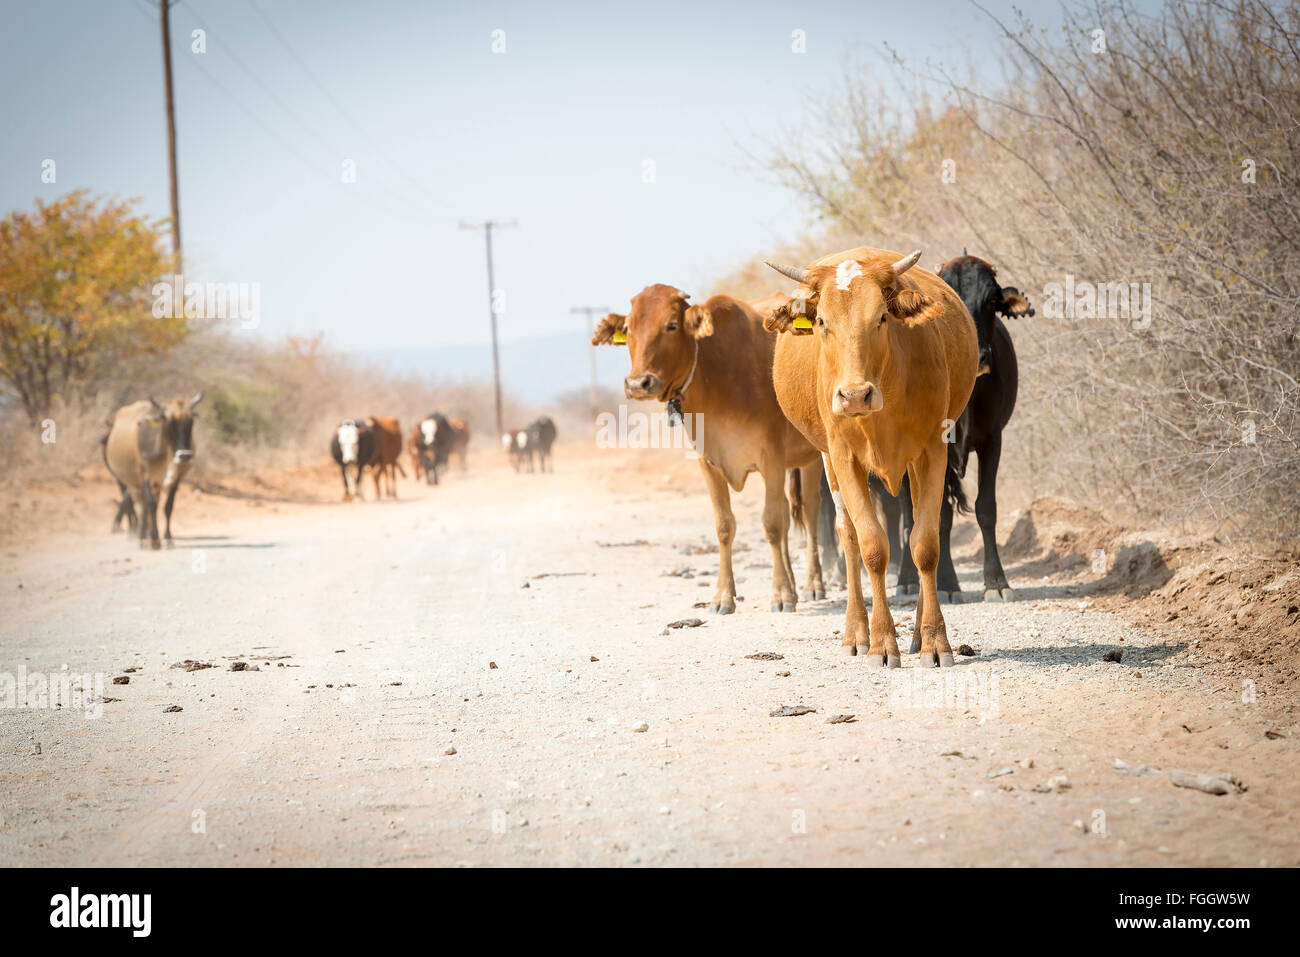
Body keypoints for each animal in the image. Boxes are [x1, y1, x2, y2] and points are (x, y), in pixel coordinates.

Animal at [103, 393, 203, 549]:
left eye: (190, 421)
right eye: (169, 422)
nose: (184, 455)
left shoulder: (175, 480)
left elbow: (168, 507)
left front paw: (167, 538)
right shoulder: (144, 477)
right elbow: (151, 505)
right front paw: (154, 540)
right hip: (132, 483)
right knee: (140, 507)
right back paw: (143, 537)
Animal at [593, 285, 828, 613]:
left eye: (672, 325)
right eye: (628, 329)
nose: (638, 383)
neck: (716, 374)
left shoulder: (771, 457)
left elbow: (771, 524)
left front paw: (780, 594)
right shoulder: (709, 462)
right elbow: (725, 526)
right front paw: (723, 596)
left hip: (812, 456)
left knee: (808, 511)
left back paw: (811, 585)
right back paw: (794, 585)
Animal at [762, 246, 978, 665]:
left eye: (880, 318)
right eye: (822, 321)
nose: (854, 395)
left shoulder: (933, 449)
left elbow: (925, 544)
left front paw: (934, 640)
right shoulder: (844, 457)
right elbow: (873, 547)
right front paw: (881, 642)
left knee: (916, 528)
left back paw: (916, 635)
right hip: (827, 459)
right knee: (848, 537)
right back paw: (856, 633)